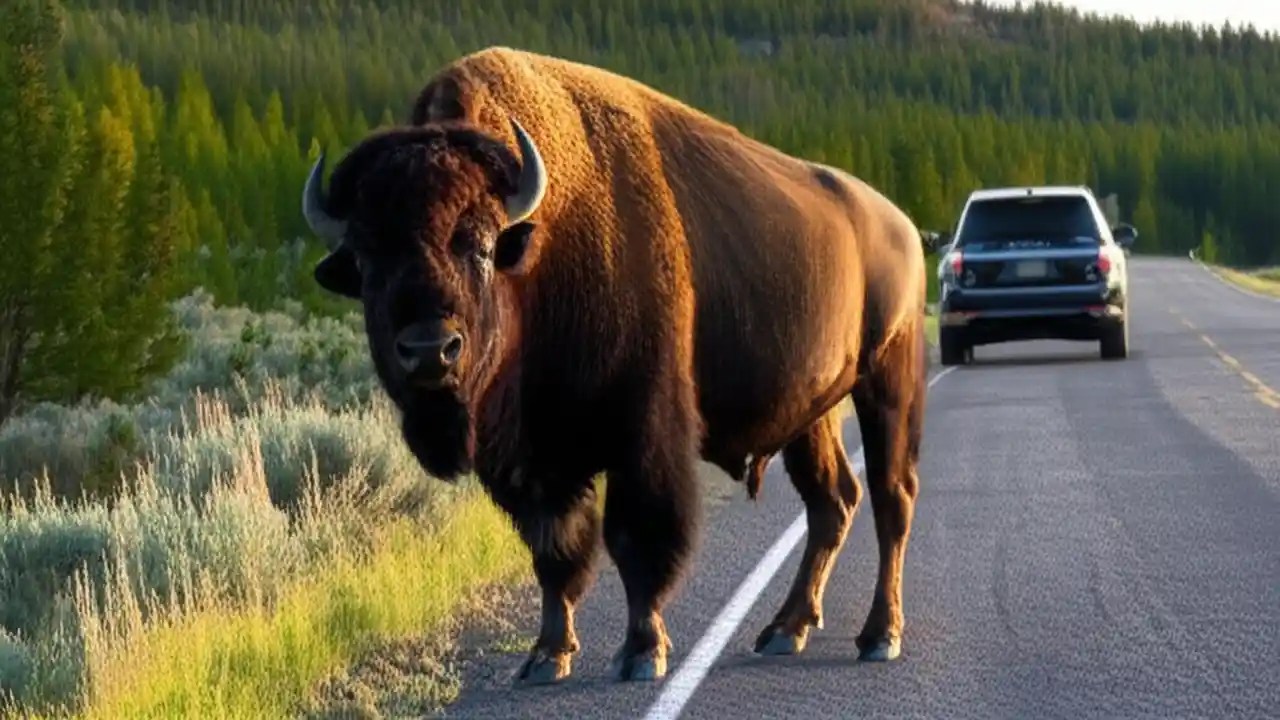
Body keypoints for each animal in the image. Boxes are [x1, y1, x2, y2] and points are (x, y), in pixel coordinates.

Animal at [302, 47, 931, 685]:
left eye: (479, 243)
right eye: (367, 259)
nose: (430, 349)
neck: (539, 248)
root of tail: (902, 226)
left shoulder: (642, 432)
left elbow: (634, 538)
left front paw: (642, 652)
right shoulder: (532, 460)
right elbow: (554, 552)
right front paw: (546, 655)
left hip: (889, 381)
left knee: (892, 497)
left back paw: (880, 635)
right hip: (813, 414)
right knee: (833, 501)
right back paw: (786, 629)